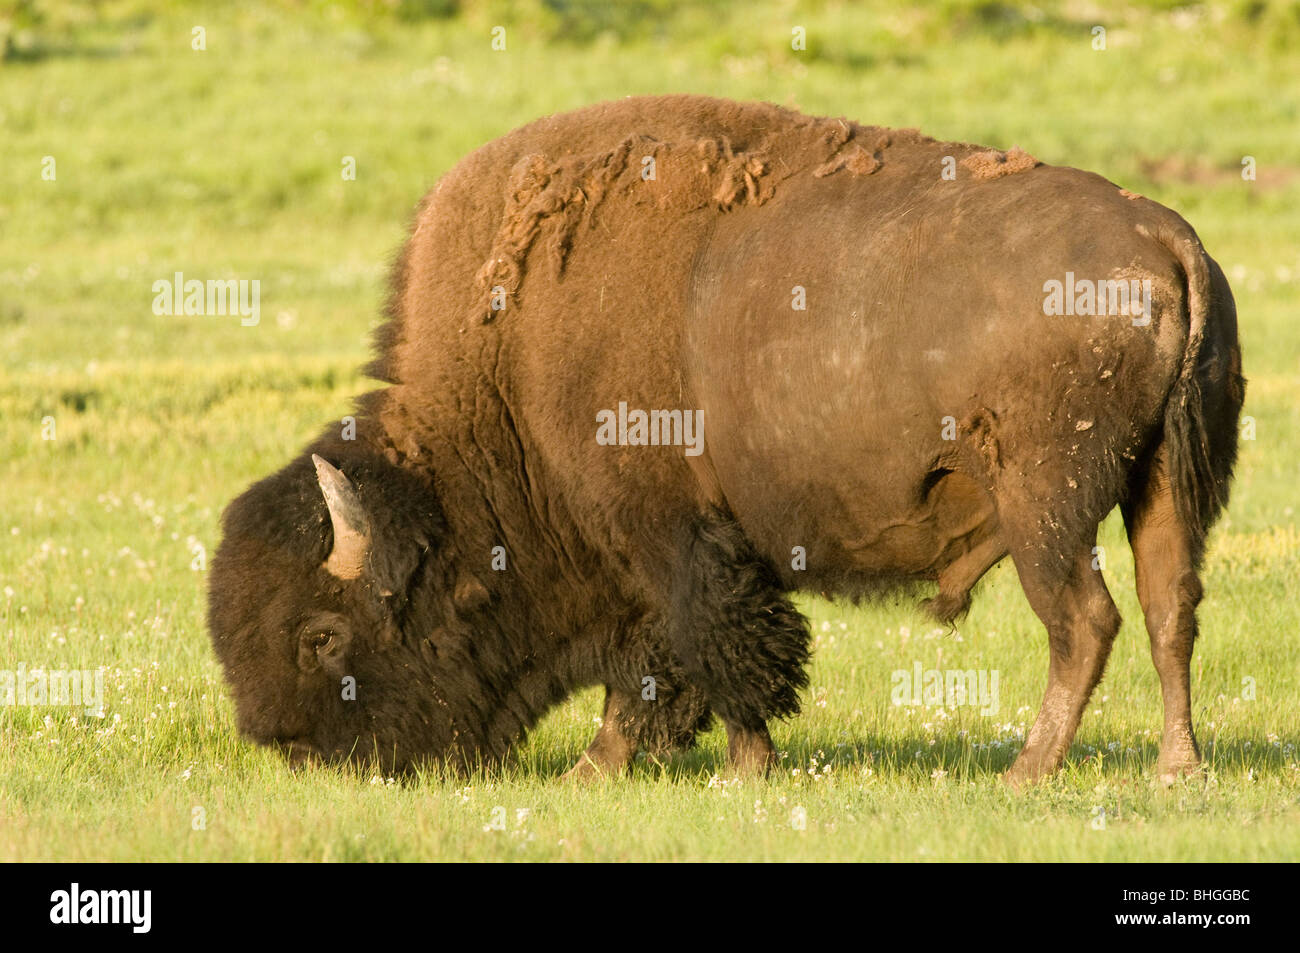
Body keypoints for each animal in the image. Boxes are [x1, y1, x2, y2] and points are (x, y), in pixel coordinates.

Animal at [208, 95, 1244, 786]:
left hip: (1046, 504)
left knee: (1085, 621)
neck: (510, 380)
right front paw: (613, 766)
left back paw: (1028, 769)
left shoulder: (668, 536)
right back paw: (1177, 769)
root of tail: (1164, 239)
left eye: (321, 634)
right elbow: (669, 661)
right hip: (1162, 487)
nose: (295, 750)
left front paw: (724, 765)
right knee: (1171, 608)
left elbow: (706, 651)